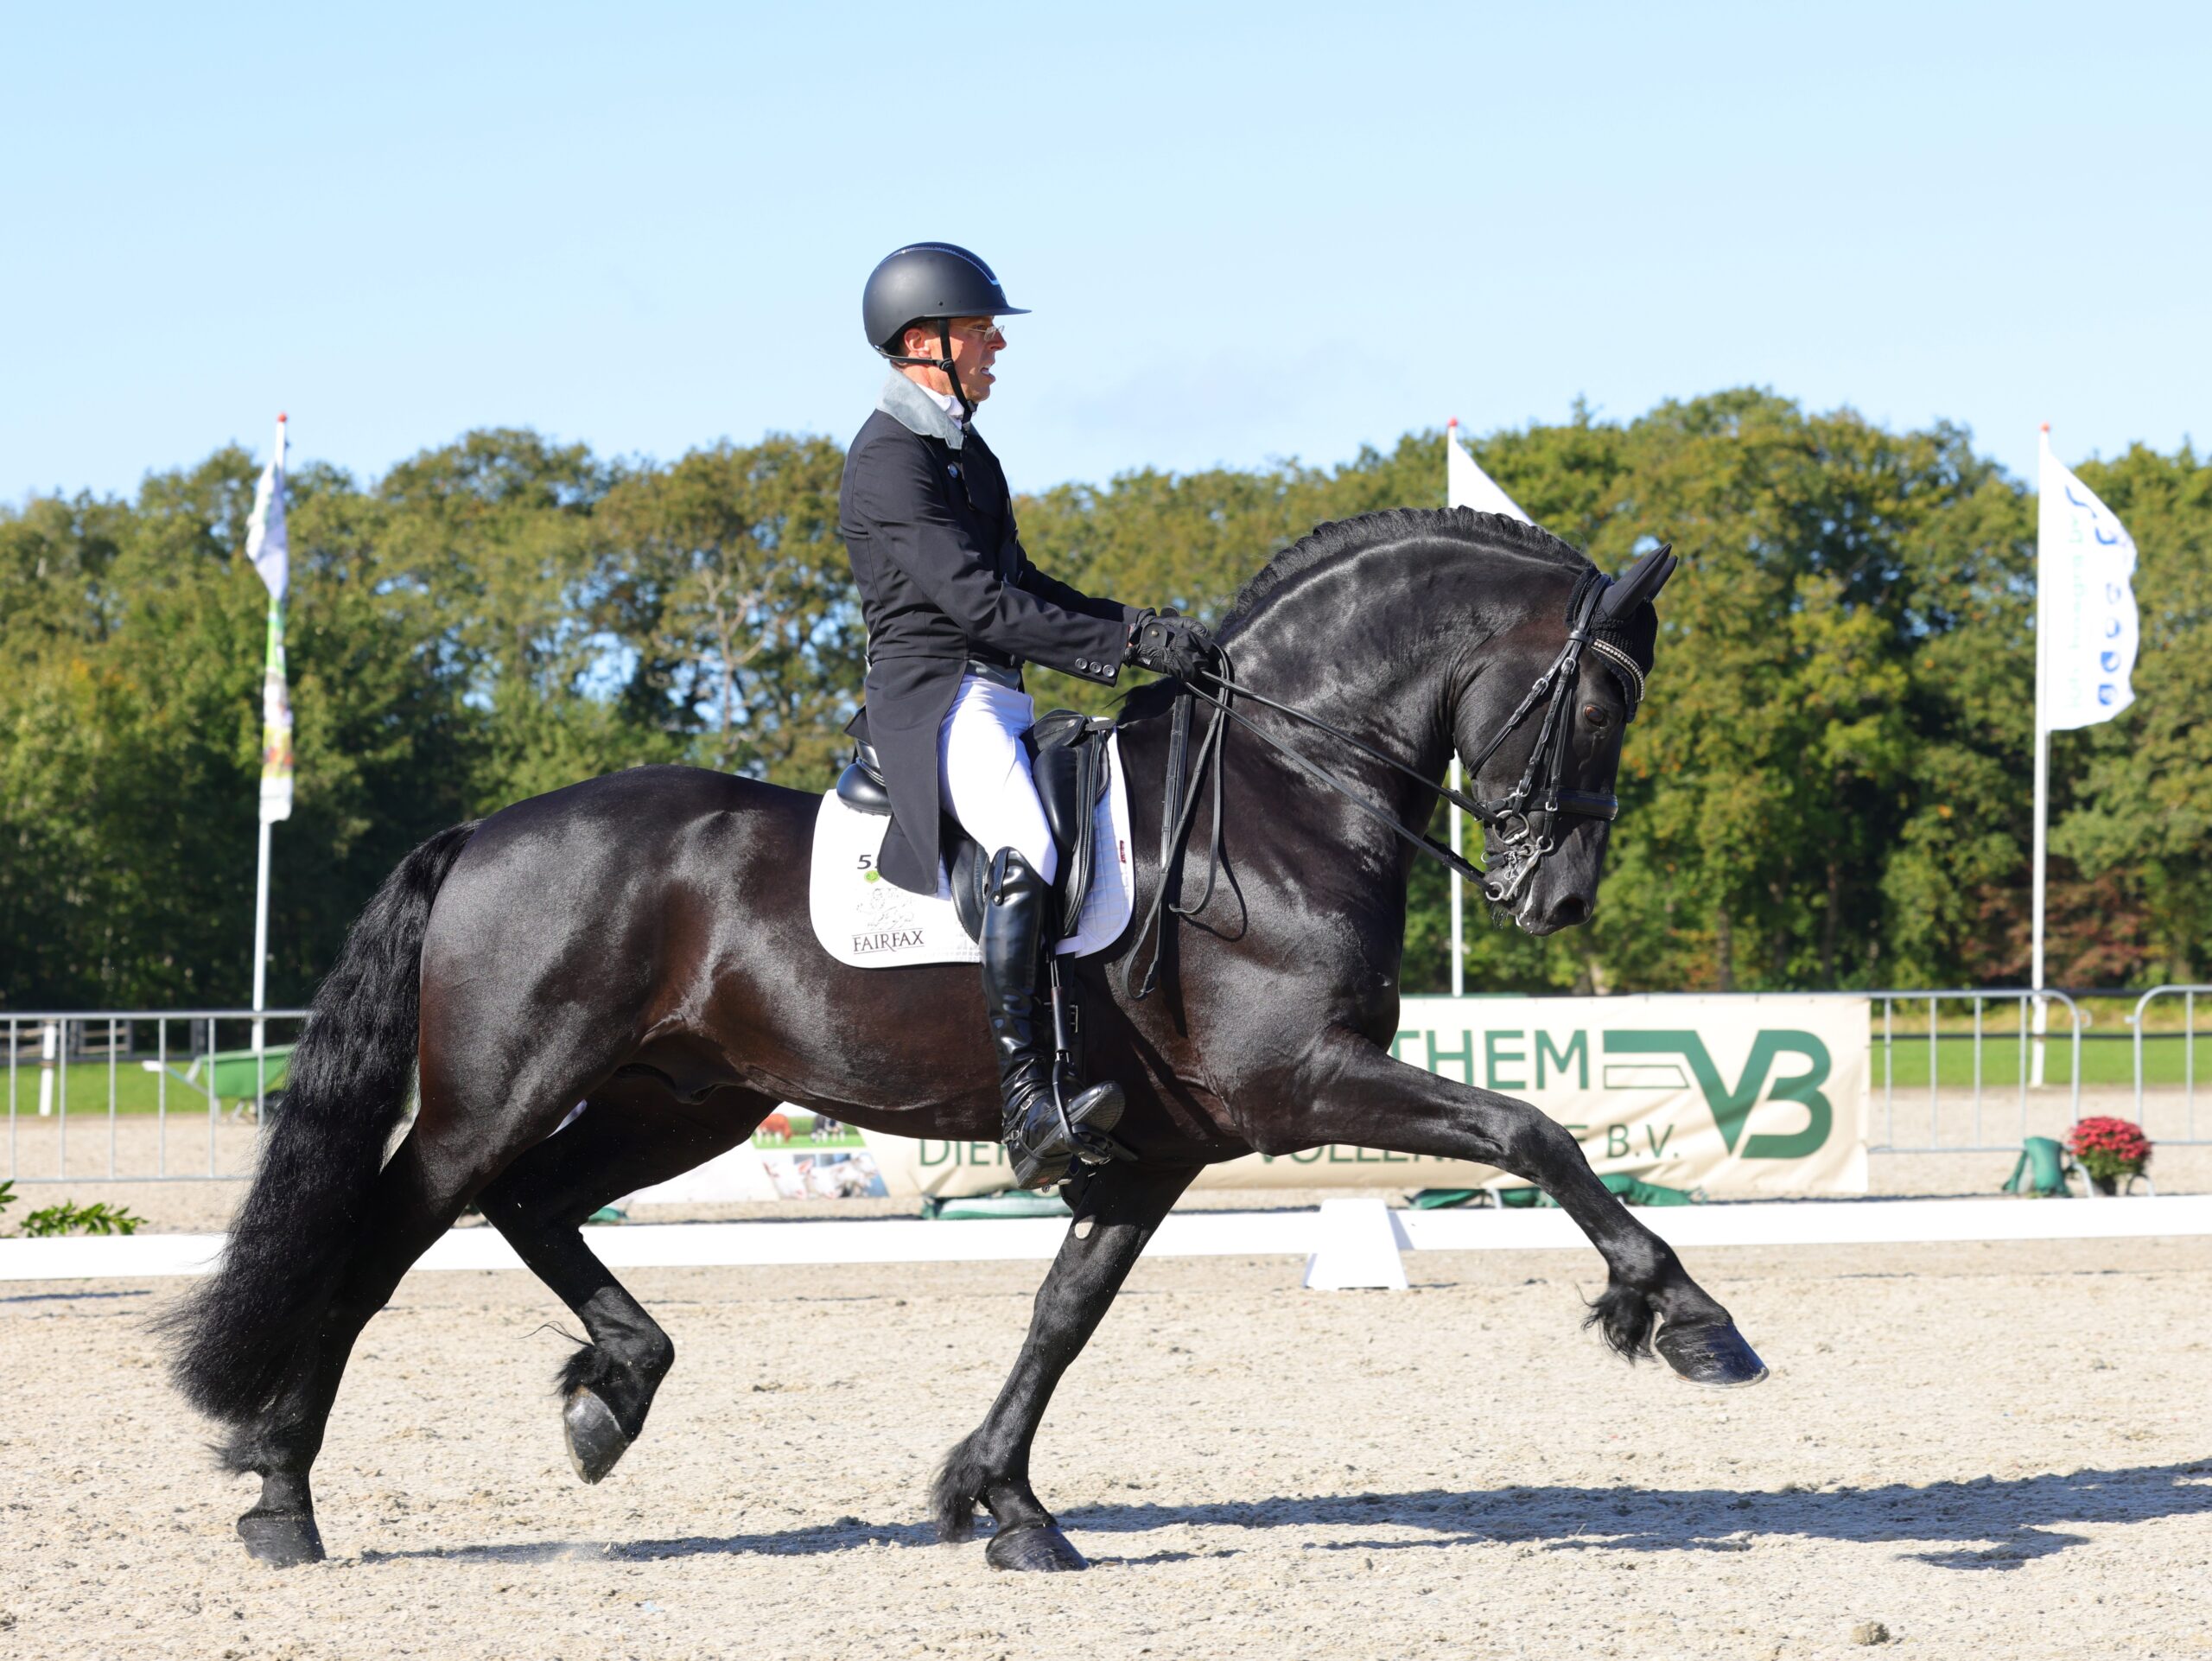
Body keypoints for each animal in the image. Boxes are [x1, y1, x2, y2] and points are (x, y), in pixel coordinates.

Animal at [162, 508, 1765, 1571]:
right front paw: (1689, 1316)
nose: (1556, 898)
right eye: (1607, 694)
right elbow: (1534, 1129)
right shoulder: (1296, 1083)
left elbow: (1064, 1314)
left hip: (683, 1098)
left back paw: (615, 1386)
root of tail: (486, 830)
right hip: (498, 1091)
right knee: (382, 1239)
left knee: (532, 1204)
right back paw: (283, 1497)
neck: (1282, 786)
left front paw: (1002, 1501)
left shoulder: (1161, 1148)